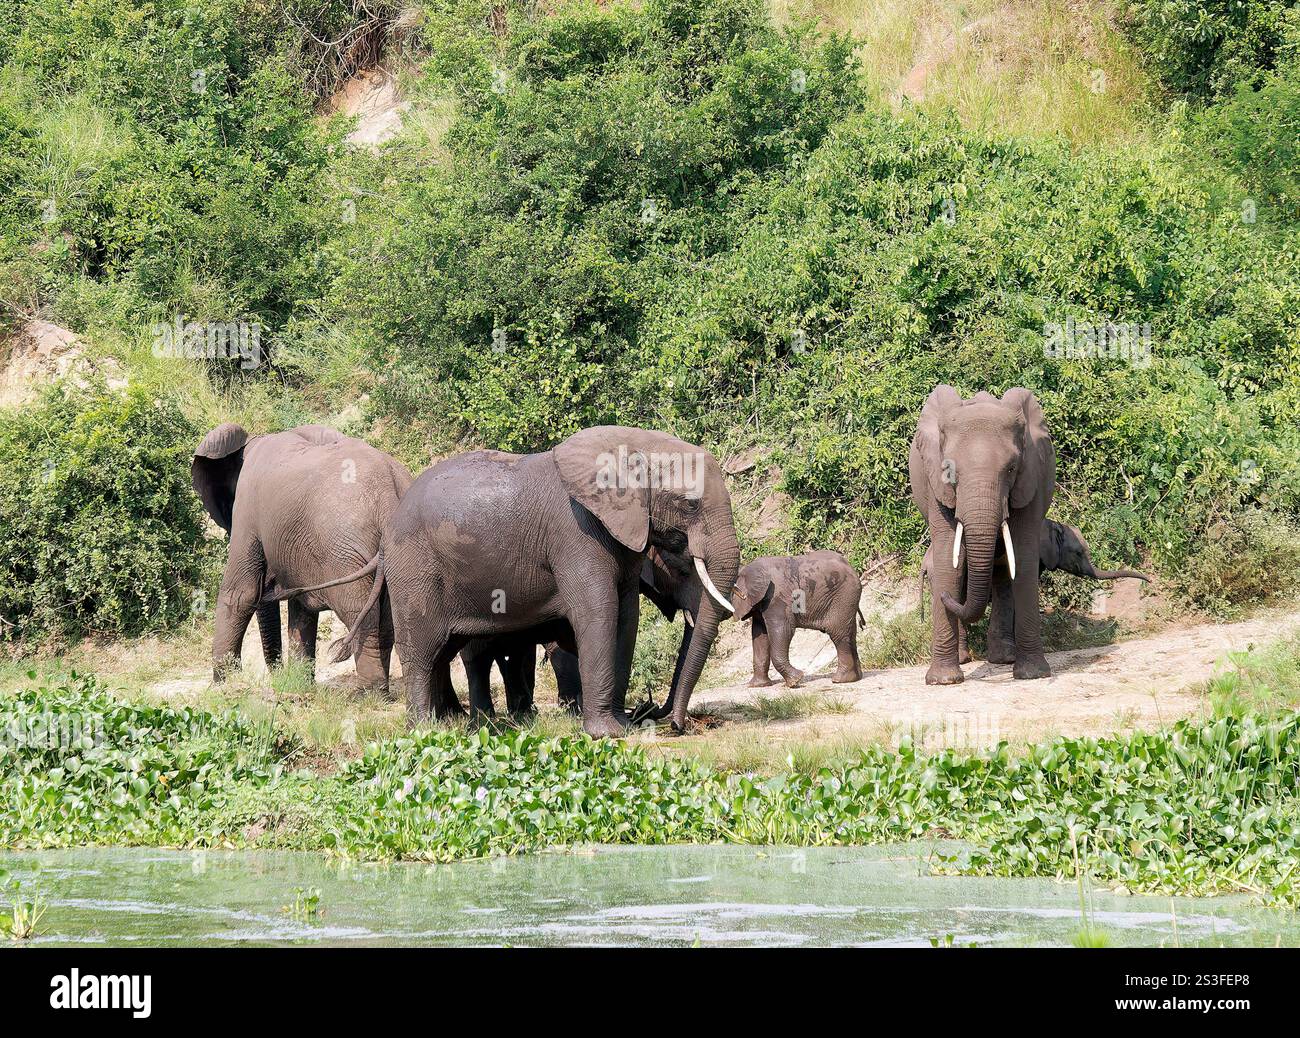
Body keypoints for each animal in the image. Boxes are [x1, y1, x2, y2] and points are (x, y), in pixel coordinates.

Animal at [192, 423, 412, 692]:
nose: (277, 678)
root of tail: (389, 493)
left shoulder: (246, 510)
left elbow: (241, 592)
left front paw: (221, 687)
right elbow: (301, 607)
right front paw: (301, 685)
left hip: (344, 554)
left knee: (361, 617)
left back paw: (369, 694)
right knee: (392, 623)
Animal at [304, 427, 740, 737]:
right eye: (689, 504)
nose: (675, 725)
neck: (633, 443)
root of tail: (387, 531)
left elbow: (626, 618)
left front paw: (623, 727)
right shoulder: (576, 534)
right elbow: (597, 613)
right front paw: (608, 734)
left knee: (447, 650)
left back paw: (456, 724)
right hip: (415, 570)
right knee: (424, 651)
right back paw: (426, 732)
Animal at [729, 551, 864, 689]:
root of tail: (851, 567)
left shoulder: (776, 597)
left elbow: (783, 631)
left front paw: (795, 681)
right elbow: (759, 636)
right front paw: (757, 685)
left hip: (843, 595)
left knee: (838, 633)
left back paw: (841, 679)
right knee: (851, 633)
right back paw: (855, 678)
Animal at [909, 385, 1055, 684]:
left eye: (1011, 469)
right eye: (948, 471)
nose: (944, 597)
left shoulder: (1031, 475)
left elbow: (1023, 555)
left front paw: (1033, 674)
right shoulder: (935, 484)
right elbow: (947, 557)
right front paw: (943, 681)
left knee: (1003, 572)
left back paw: (1004, 658)